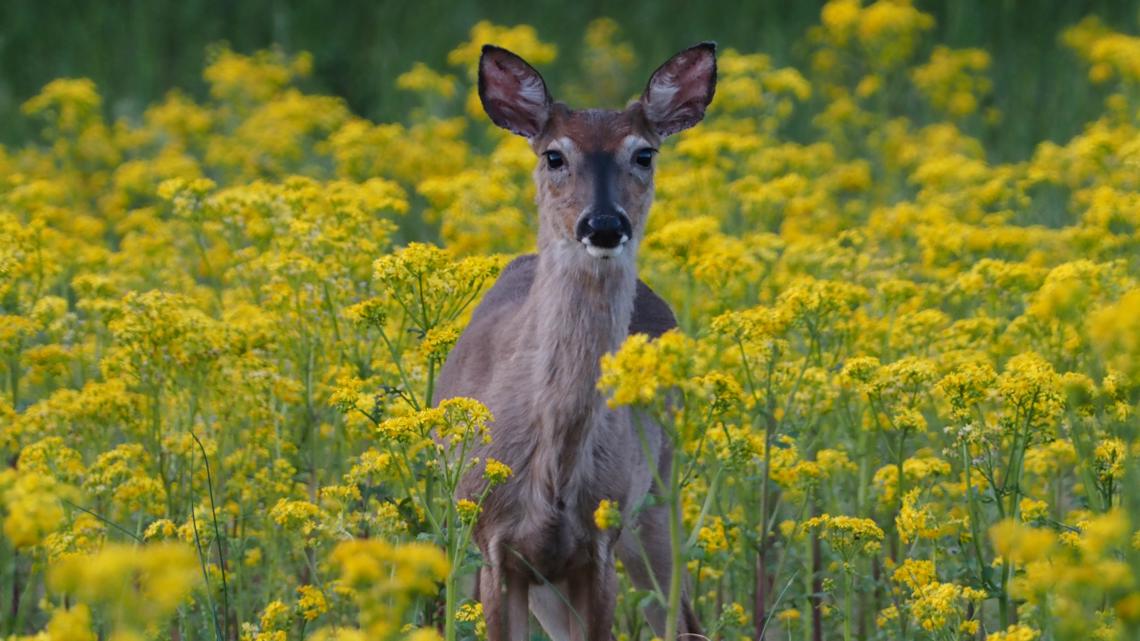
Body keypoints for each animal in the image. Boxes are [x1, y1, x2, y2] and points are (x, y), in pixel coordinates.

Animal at [434, 41, 717, 641]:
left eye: (644, 154)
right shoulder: (493, 544)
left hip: (657, 503)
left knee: (684, 619)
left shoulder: (598, 545)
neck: (553, 467)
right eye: (553, 156)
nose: (604, 224)